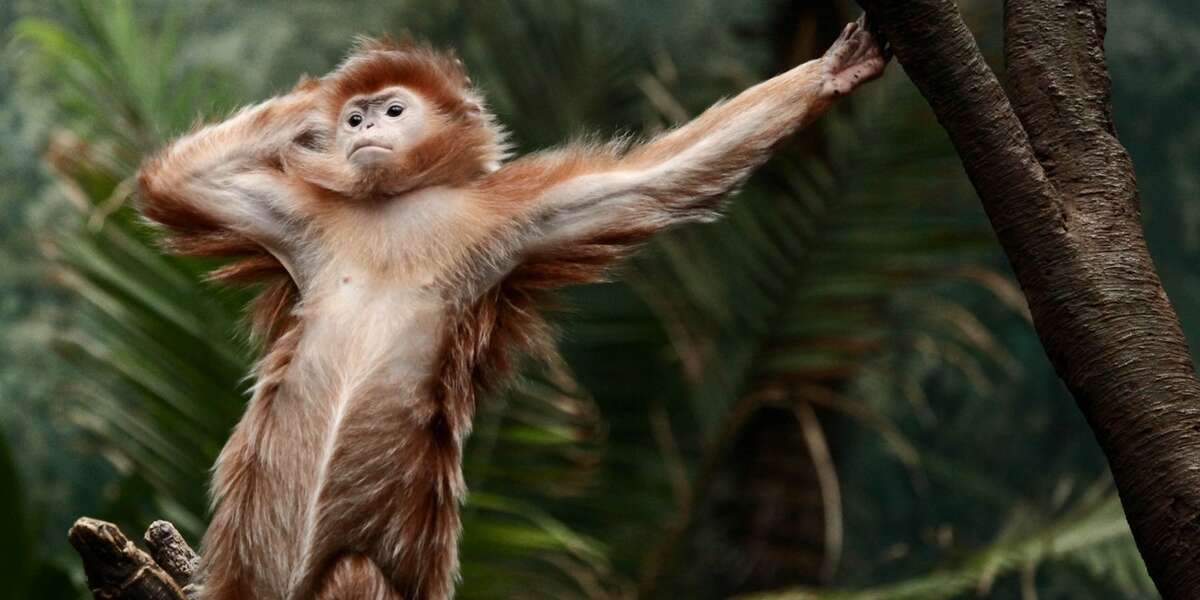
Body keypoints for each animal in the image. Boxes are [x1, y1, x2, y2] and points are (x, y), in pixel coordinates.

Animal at [135, 18, 886, 600]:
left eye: (392, 111)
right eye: (355, 118)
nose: (363, 125)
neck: (396, 203)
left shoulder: (511, 217)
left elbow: (658, 181)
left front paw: (828, 73)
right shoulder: (294, 217)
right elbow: (176, 180)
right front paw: (317, 93)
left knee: (353, 573)